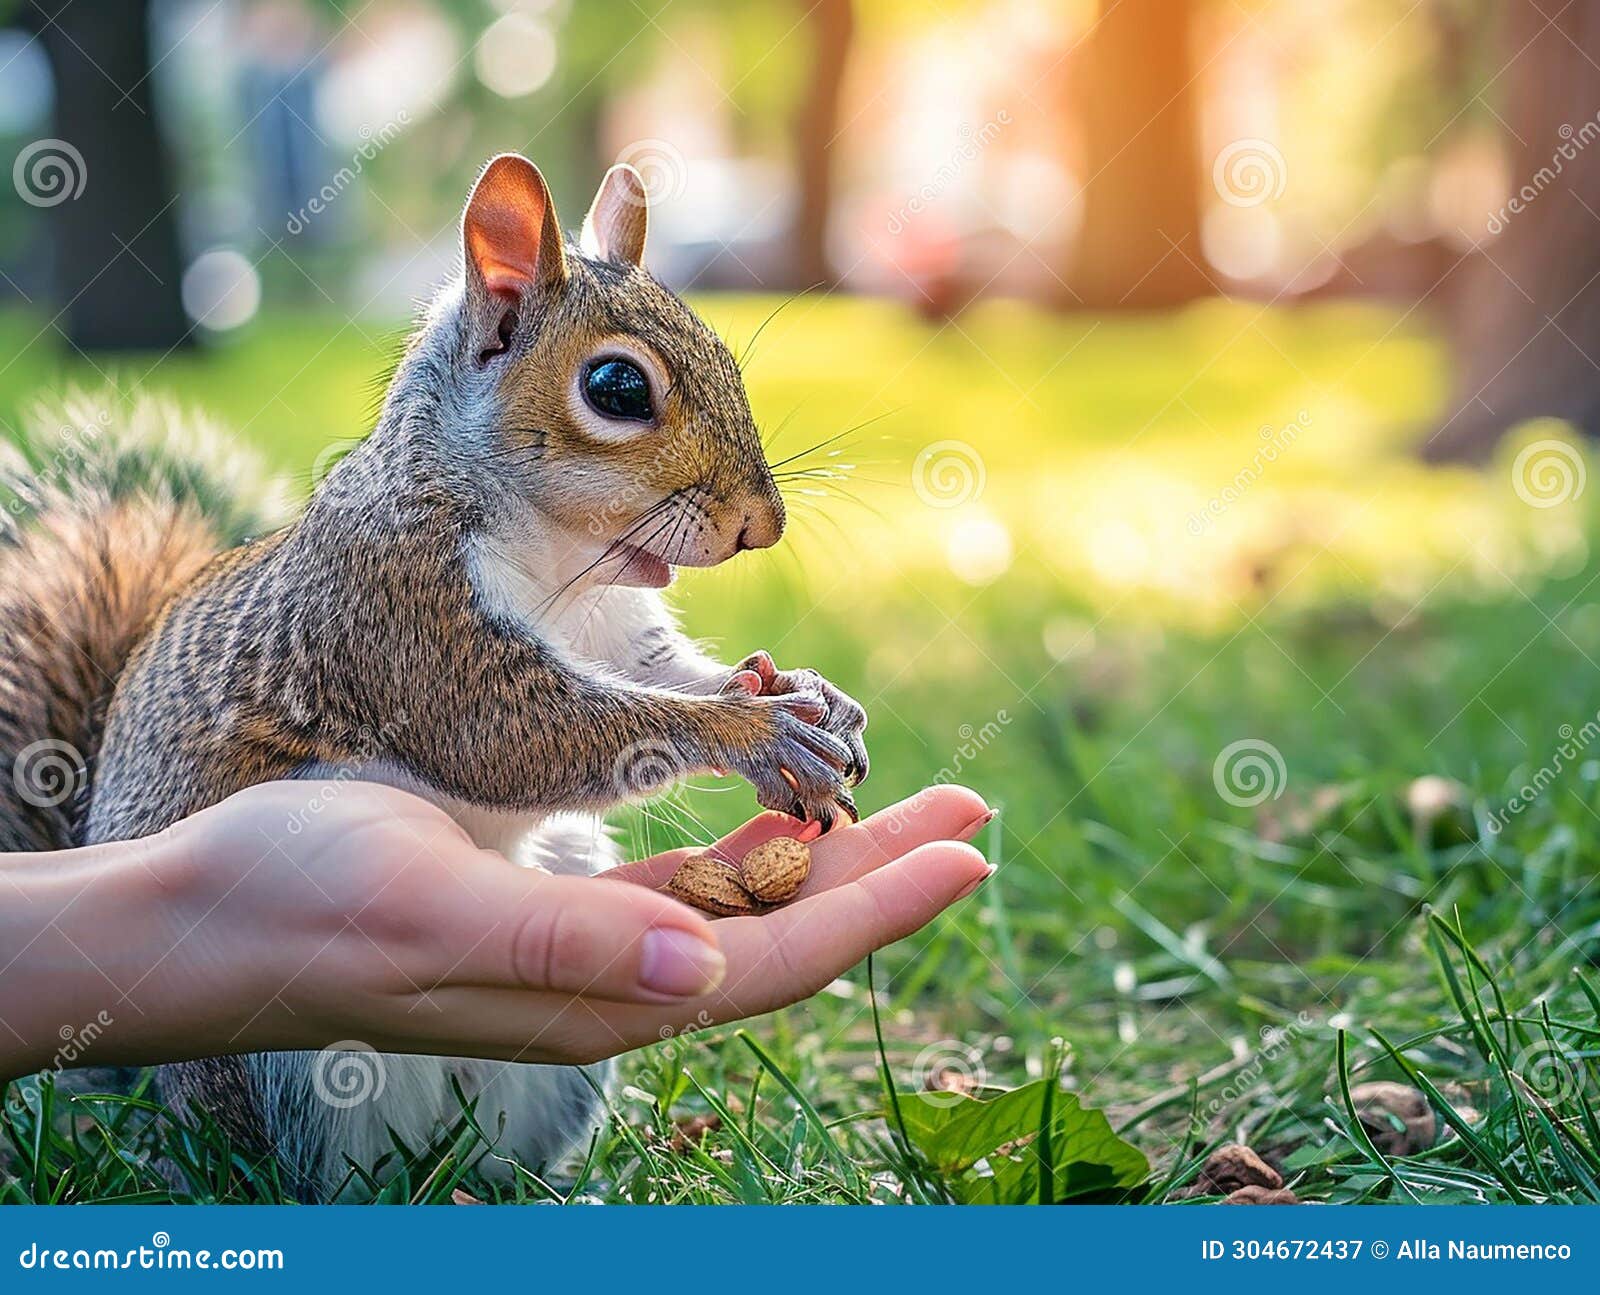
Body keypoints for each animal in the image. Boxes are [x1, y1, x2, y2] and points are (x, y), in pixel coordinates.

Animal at [0, 154, 869, 1199]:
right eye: (618, 387)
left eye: (727, 358)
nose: (763, 524)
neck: (557, 555)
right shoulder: (404, 612)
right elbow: (513, 735)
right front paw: (759, 735)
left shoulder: (617, 635)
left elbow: (664, 676)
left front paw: (811, 697)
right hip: (284, 1071)